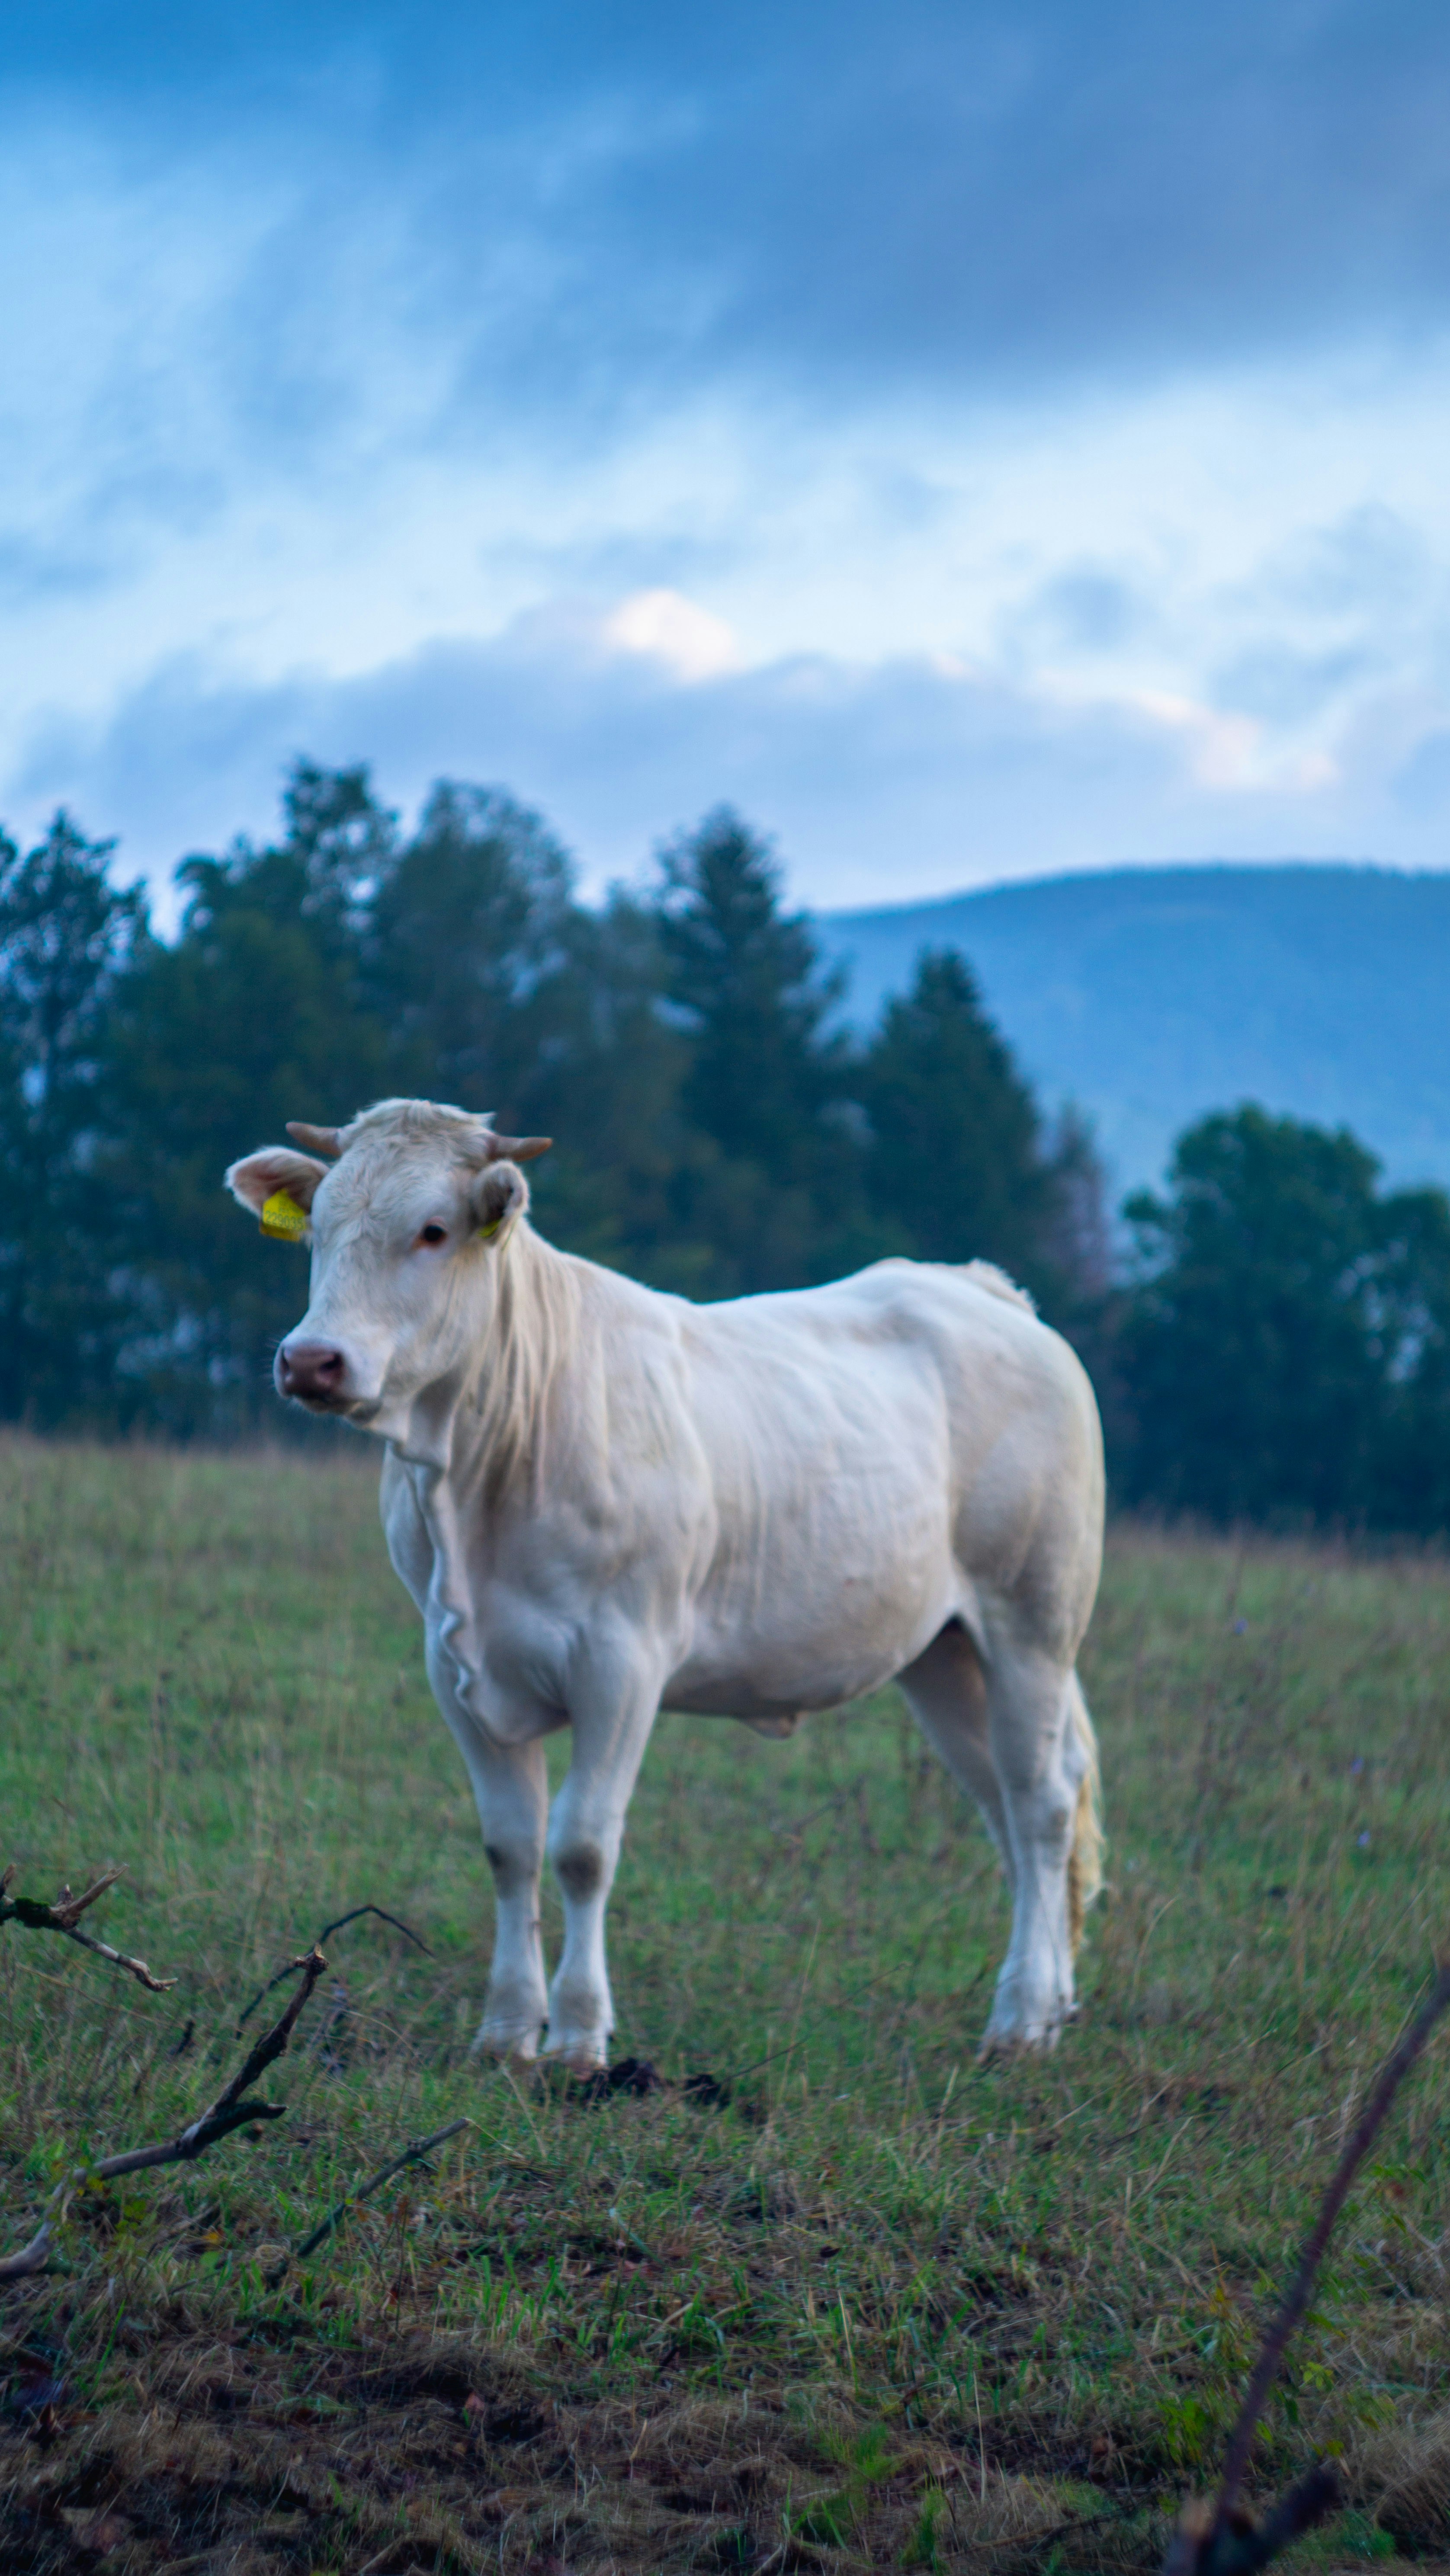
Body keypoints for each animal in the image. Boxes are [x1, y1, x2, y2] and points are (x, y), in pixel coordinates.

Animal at [226, 1097, 1105, 2068]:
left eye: (433, 1229)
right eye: (319, 1224)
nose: (312, 1360)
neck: (479, 1481)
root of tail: (978, 1287)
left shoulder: (623, 1656)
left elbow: (581, 1845)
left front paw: (577, 2036)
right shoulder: (451, 1664)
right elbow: (509, 1844)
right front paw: (506, 2030)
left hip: (1031, 1618)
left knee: (1041, 1802)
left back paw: (1021, 2018)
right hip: (942, 1653)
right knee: (1005, 1802)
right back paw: (1050, 2000)